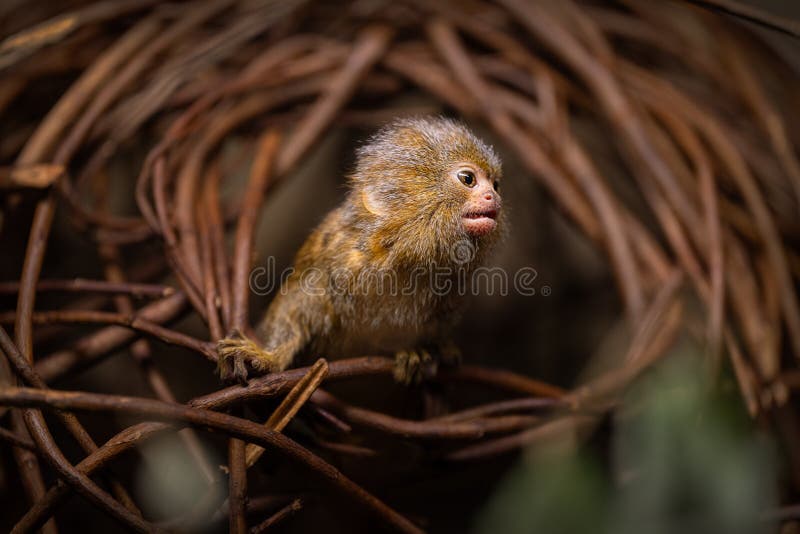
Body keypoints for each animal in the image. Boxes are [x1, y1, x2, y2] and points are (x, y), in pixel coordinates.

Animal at [217, 116, 504, 384]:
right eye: (468, 179)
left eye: (495, 184)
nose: (494, 197)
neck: (402, 253)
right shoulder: (331, 267)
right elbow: (295, 308)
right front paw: (269, 357)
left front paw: (437, 347)